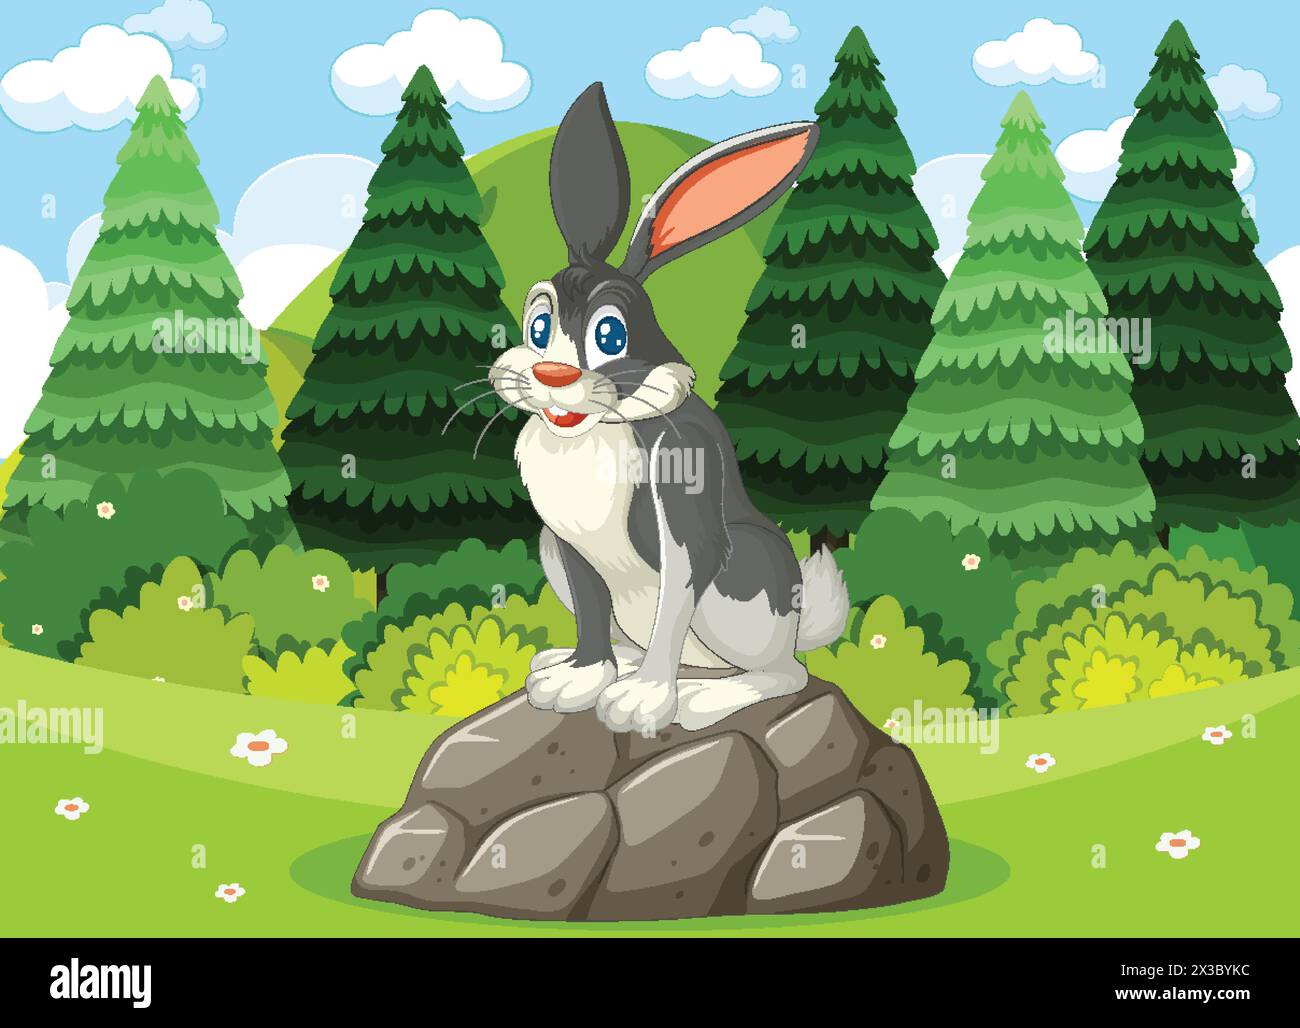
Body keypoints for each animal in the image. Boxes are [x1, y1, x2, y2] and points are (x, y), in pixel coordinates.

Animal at [485, 82, 849, 735]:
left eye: (611, 335)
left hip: (746, 583)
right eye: (538, 326)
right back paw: (588, 662)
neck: (597, 429)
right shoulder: (566, 542)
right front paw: (579, 677)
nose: (553, 375)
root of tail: (799, 628)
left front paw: (642, 702)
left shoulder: (684, 514)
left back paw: (701, 698)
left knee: (784, 674)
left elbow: (676, 598)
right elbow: (590, 611)